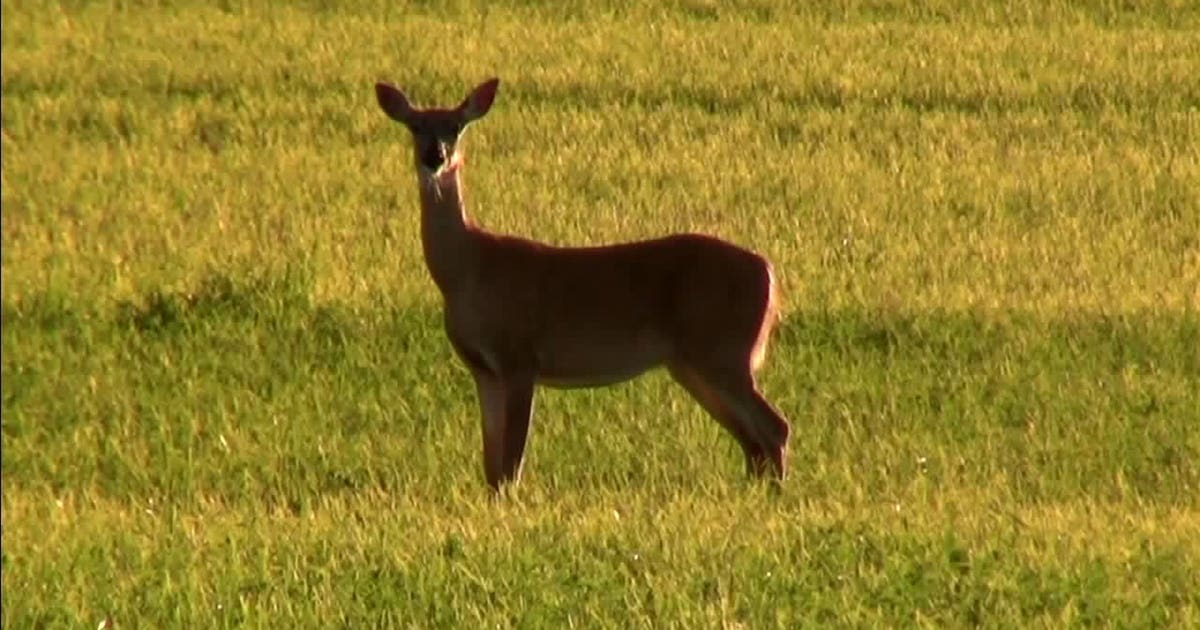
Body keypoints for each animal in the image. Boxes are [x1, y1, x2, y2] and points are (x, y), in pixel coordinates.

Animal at [374, 77, 791, 492]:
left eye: (456, 126)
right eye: (415, 125)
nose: (435, 156)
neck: (467, 270)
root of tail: (768, 272)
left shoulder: (520, 354)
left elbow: (512, 459)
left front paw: (513, 502)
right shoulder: (482, 368)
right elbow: (491, 464)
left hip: (723, 349)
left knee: (775, 427)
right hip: (693, 361)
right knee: (752, 440)